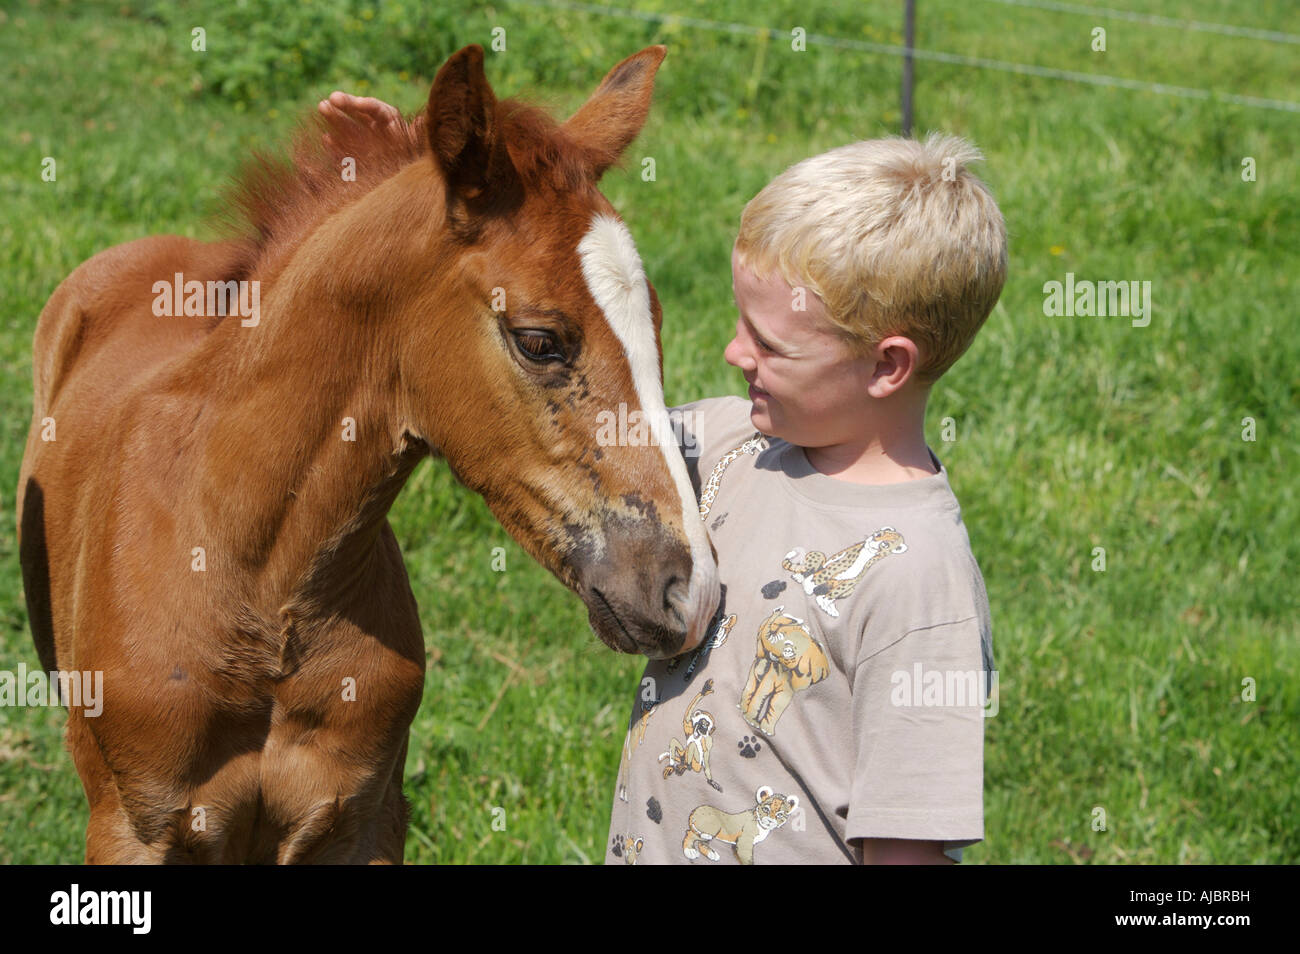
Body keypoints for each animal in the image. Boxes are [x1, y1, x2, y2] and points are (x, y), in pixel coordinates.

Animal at [16, 44, 720, 864]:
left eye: (656, 325)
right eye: (540, 340)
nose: (689, 591)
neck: (261, 593)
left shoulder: (365, 817)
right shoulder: (137, 829)